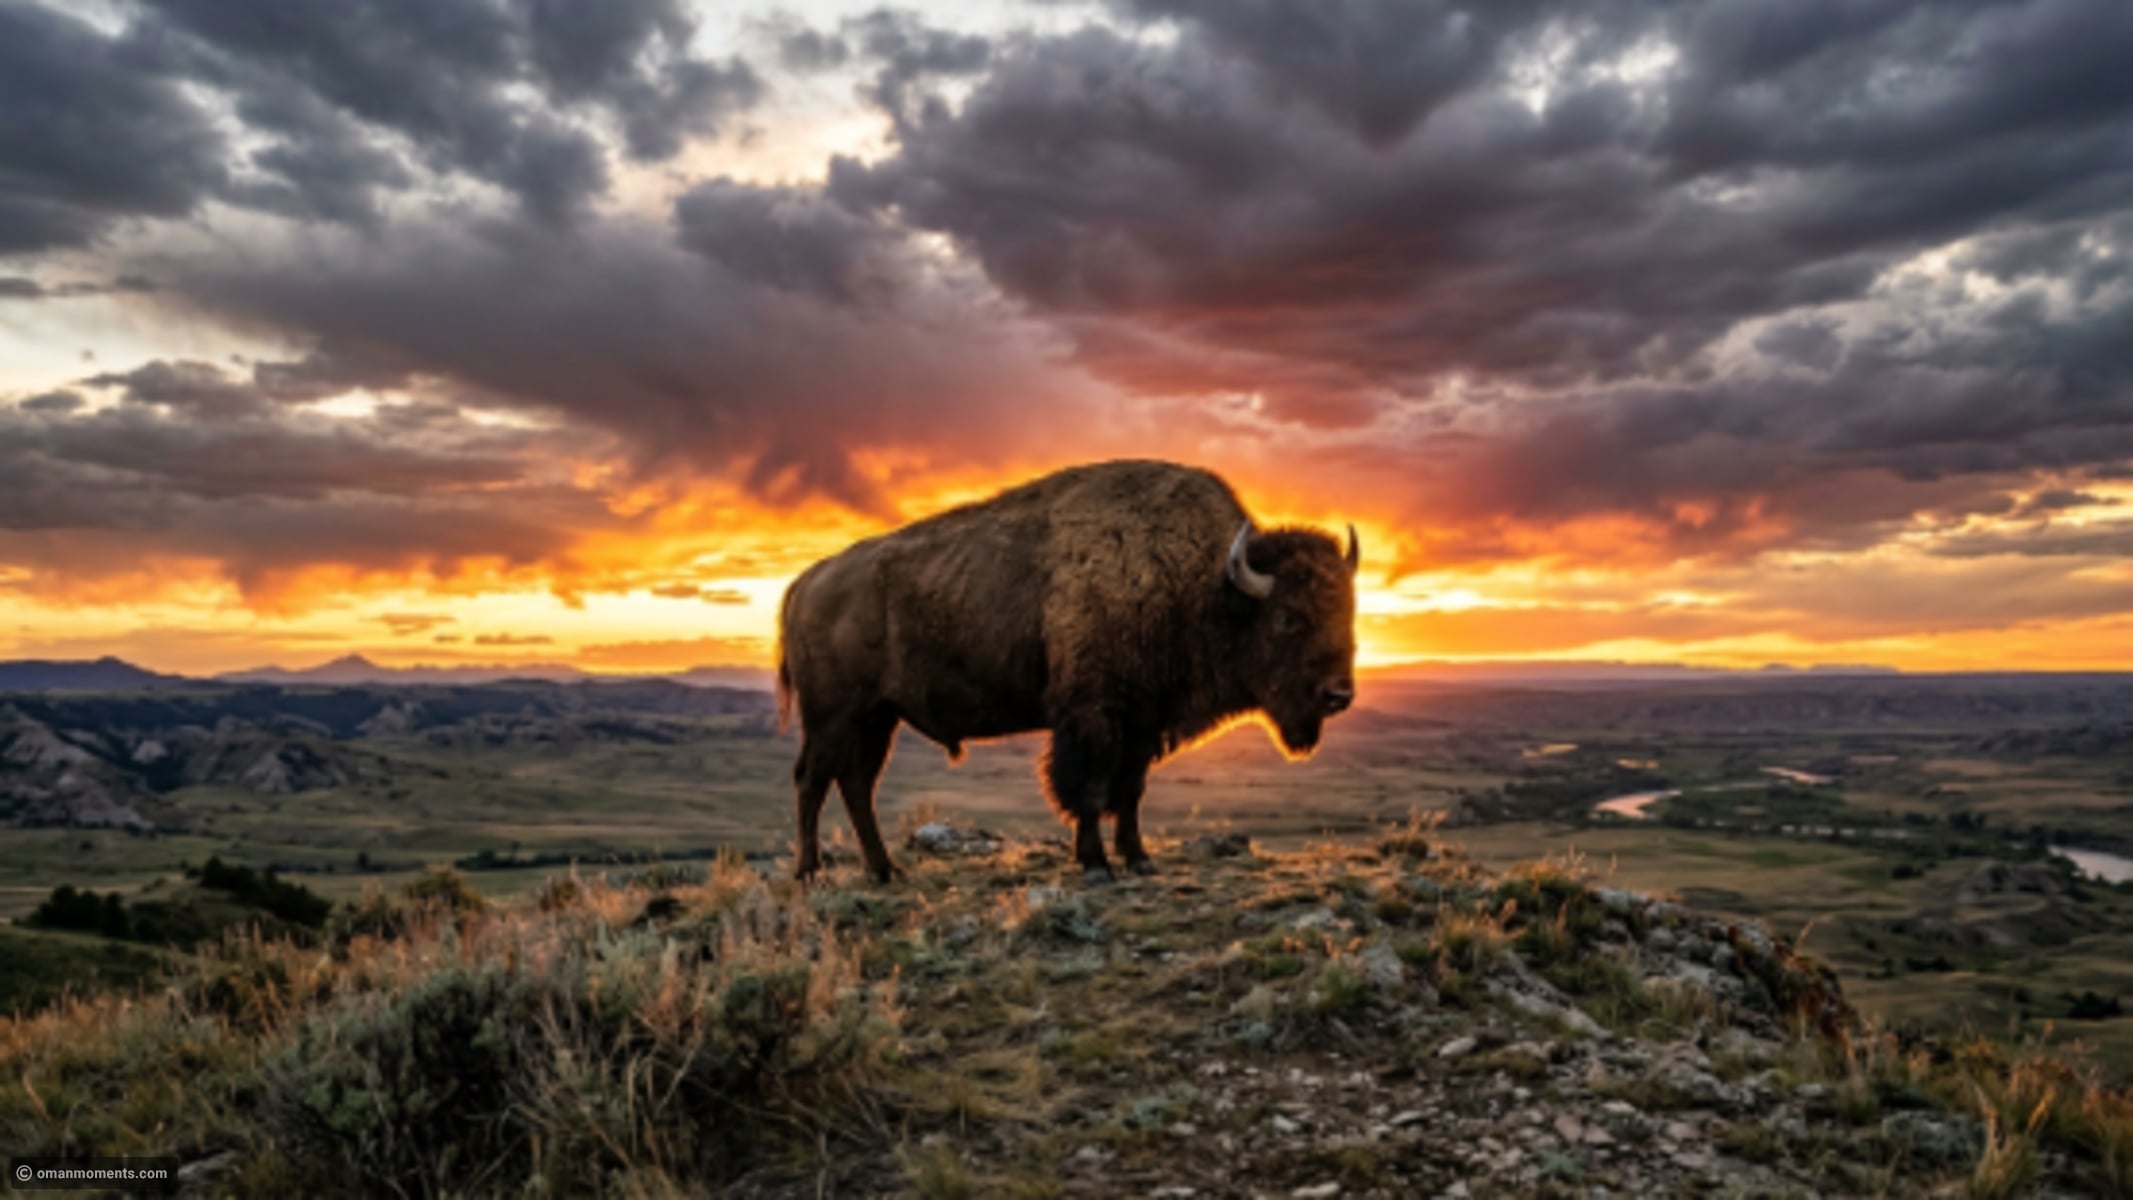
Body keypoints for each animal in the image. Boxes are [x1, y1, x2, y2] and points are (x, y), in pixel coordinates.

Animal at [776, 459, 1358, 883]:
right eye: (1287, 617)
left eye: (1349, 611)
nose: (1339, 696)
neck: (1202, 584)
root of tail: (807, 581)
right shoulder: (1092, 717)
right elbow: (1091, 787)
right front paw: (1096, 864)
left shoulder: (1143, 722)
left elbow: (1130, 790)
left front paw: (1139, 858)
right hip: (833, 715)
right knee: (812, 778)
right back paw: (810, 872)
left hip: (878, 717)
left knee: (856, 783)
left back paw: (885, 871)